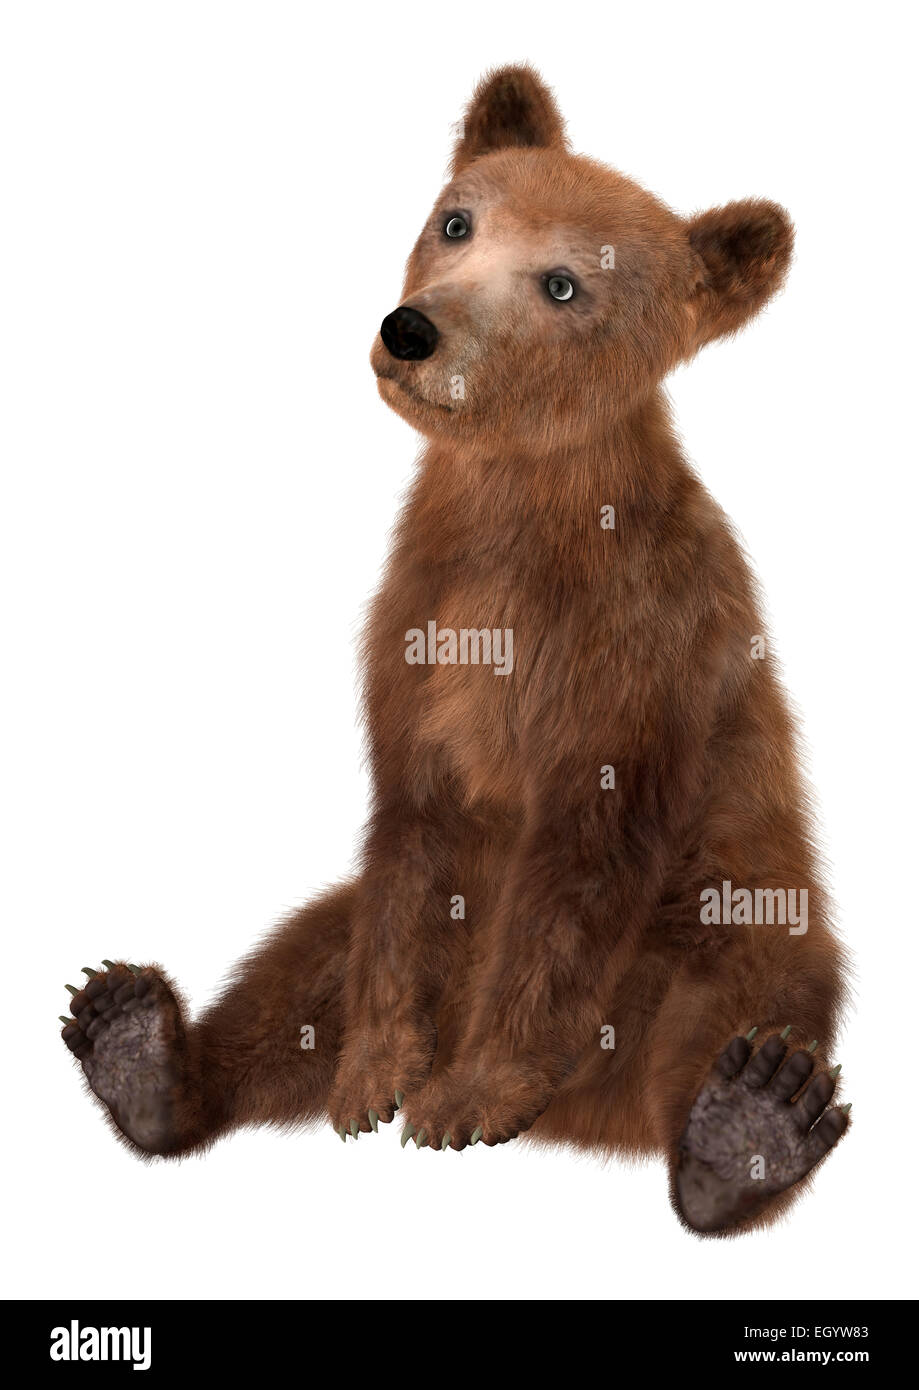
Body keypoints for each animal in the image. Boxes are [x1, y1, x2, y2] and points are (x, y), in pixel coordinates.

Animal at [61, 64, 850, 1236]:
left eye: (563, 284)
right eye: (457, 221)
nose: (411, 329)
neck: (517, 516)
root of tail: (593, 1121)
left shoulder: (635, 646)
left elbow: (578, 865)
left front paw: (466, 1095)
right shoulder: (420, 625)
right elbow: (411, 841)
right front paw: (374, 1077)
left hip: (730, 914)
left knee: (731, 1003)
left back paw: (744, 1125)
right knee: (303, 959)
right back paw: (139, 1050)